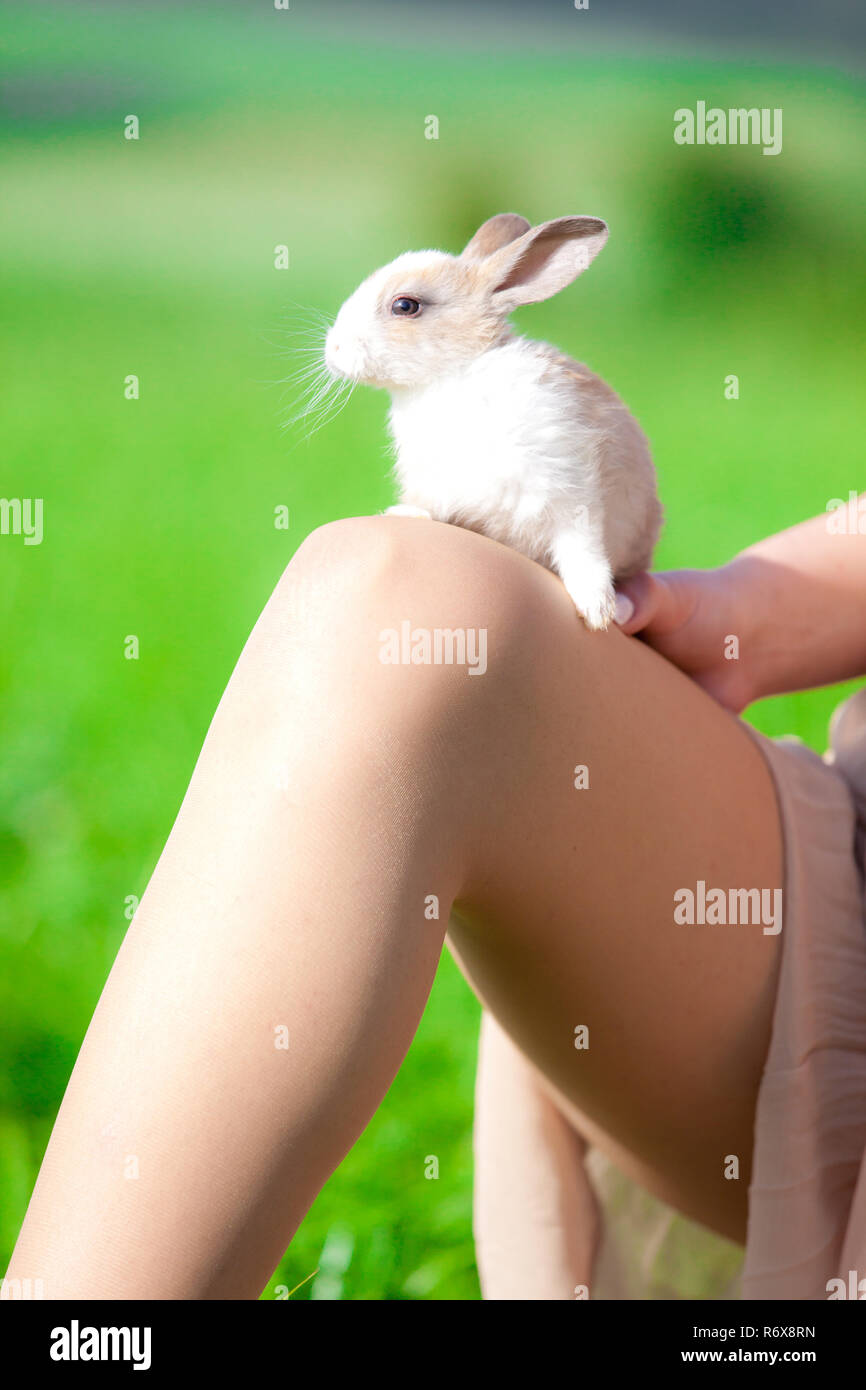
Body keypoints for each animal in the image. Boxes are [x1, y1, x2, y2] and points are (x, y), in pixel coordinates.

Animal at [323, 212, 662, 629]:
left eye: (404, 305)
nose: (333, 349)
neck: (454, 373)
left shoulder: (571, 484)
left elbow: (582, 547)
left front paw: (597, 609)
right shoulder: (437, 485)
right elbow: (432, 506)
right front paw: (405, 513)